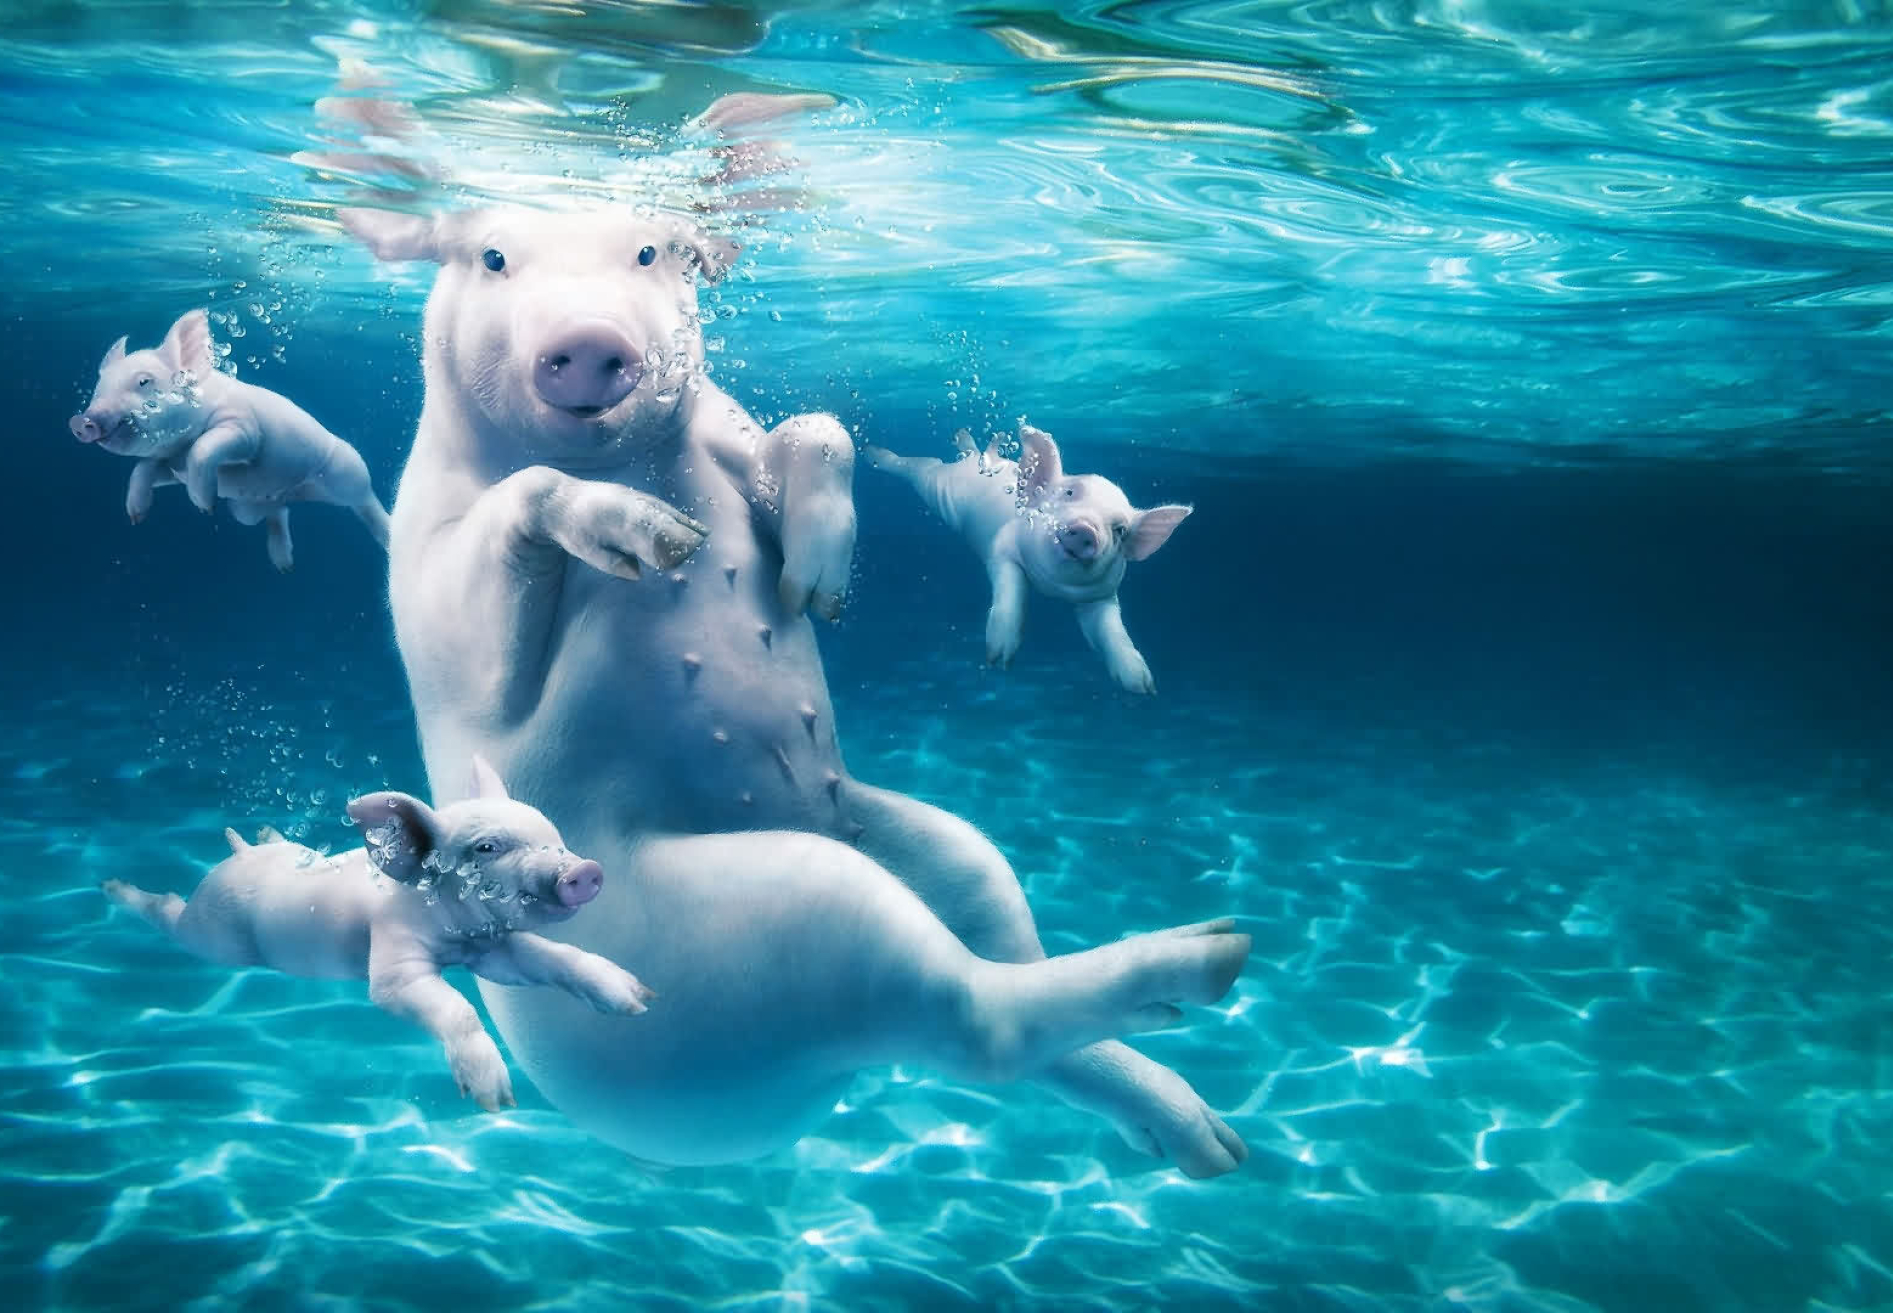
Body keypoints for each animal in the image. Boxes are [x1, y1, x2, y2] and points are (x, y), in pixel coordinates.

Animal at [69, 309, 392, 570]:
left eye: (143, 381)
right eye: (99, 388)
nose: (81, 421)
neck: (179, 448)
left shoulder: (244, 428)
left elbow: (205, 447)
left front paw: (205, 507)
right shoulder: (172, 465)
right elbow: (142, 468)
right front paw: (136, 517)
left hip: (349, 473)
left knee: (365, 501)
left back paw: (388, 538)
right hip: (245, 510)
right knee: (279, 511)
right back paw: (284, 566)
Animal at [101, 757, 650, 1111]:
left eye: (554, 835)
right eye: (487, 848)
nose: (585, 871)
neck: (458, 934)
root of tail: (234, 859)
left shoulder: (493, 950)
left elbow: (552, 958)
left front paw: (640, 1000)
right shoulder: (393, 960)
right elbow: (451, 1005)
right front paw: (495, 1101)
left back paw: (263, 833)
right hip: (211, 932)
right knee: (169, 913)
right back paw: (114, 887)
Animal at [866, 424, 1191, 694]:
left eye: (1120, 530)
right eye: (1069, 492)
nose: (1086, 529)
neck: (1051, 587)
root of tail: (969, 461)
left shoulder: (1102, 595)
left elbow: (1111, 630)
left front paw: (1144, 687)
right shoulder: (1002, 551)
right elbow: (1012, 592)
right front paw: (998, 661)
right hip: (936, 488)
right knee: (921, 465)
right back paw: (875, 452)